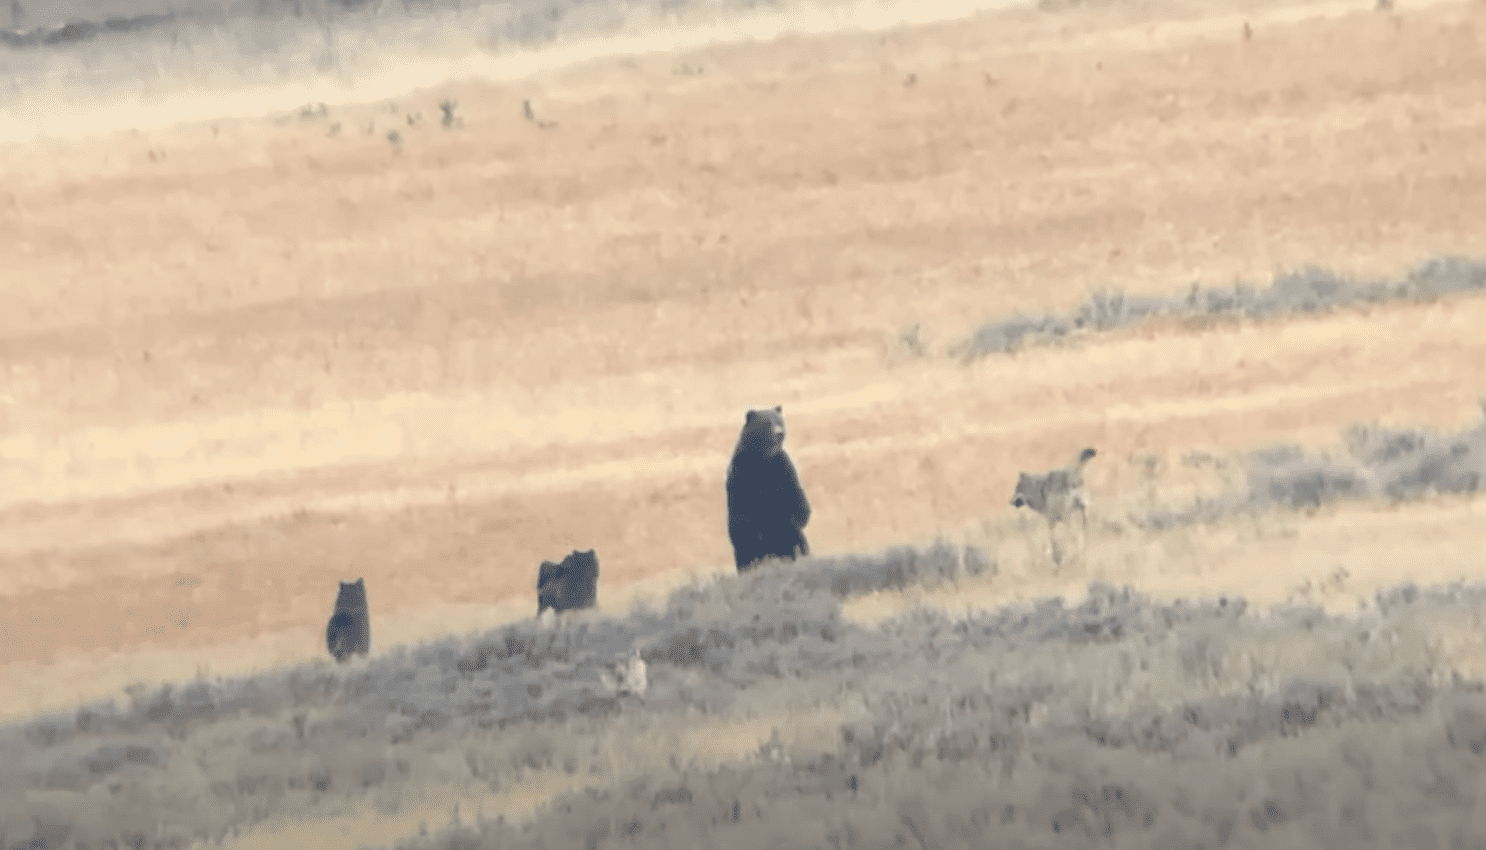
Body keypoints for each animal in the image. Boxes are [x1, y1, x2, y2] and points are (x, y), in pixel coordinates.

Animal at [725, 405, 812, 572]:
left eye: (779, 420)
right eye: (766, 423)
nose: (779, 433)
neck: (763, 460)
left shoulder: (783, 469)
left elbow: (798, 502)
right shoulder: (741, 473)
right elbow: (743, 512)